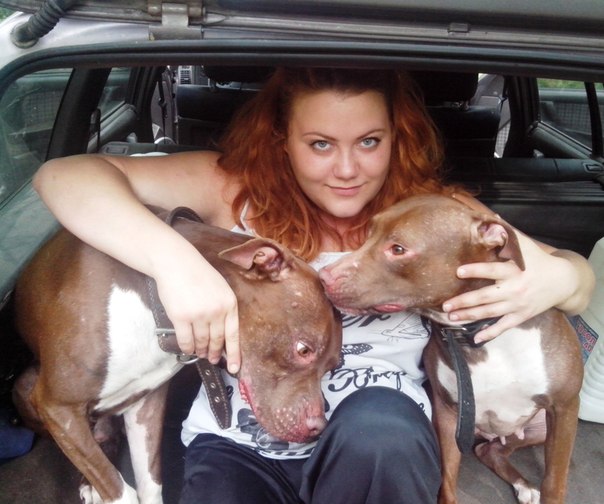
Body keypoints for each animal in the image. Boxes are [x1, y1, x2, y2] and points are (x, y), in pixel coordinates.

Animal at [12, 208, 342, 504]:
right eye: (303, 349)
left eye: (330, 368)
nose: (319, 427)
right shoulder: (59, 407)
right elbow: (120, 490)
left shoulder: (146, 405)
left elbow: (149, 483)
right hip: (27, 390)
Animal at [318, 194, 583, 504]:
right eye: (369, 232)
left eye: (398, 249)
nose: (323, 276)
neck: (477, 334)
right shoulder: (448, 414)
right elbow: (447, 477)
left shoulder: (565, 408)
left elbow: (555, 481)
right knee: (487, 450)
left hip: (542, 426)